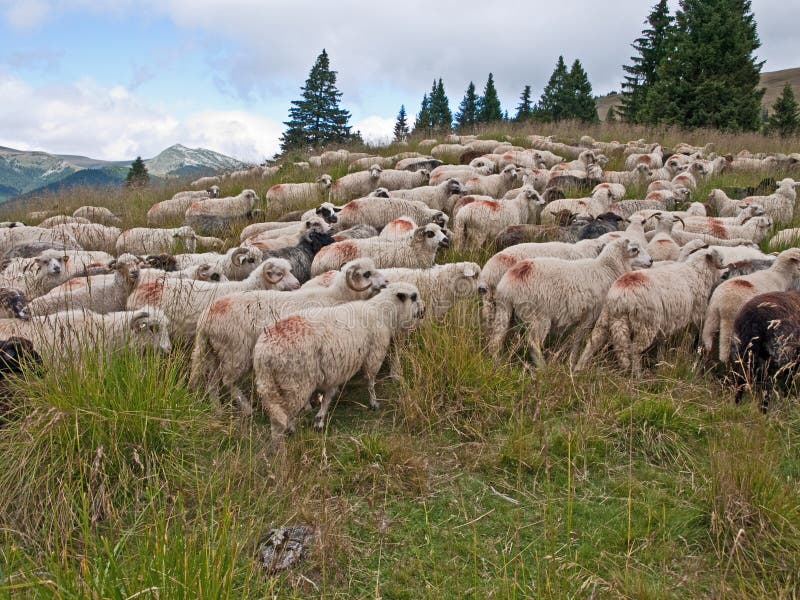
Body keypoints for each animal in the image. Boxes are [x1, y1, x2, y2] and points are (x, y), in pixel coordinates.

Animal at [189, 258, 388, 412]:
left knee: (212, 381)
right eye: (367, 274)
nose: (386, 282)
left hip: (215, 353)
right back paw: (246, 409)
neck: (336, 297)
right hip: (236, 352)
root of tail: (206, 318)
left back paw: (218, 410)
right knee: (227, 381)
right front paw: (309, 405)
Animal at [253, 281, 424, 443]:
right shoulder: (374, 354)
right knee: (284, 415)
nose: (424, 310)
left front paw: (320, 419)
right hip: (295, 382)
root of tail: (265, 353)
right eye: (414, 296)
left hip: (268, 384)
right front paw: (374, 403)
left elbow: (329, 394)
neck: (382, 312)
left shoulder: (334, 369)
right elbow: (370, 382)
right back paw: (287, 435)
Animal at [487, 238, 653, 366]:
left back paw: (496, 363)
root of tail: (512, 281)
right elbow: (578, 341)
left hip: (504, 309)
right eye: (635, 249)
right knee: (533, 342)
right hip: (539, 316)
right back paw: (543, 368)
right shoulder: (589, 315)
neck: (606, 269)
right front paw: (572, 362)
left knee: (496, 338)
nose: (651, 260)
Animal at [575, 247, 726, 375]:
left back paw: (578, 368)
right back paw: (637, 376)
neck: (697, 272)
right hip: (646, 324)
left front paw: (661, 360)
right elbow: (691, 338)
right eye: (721, 259)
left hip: (606, 317)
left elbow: (661, 342)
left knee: (592, 342)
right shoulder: (696, 316)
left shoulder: (666, 322)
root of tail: (621, 297)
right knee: (635, 350)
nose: (725, 274)